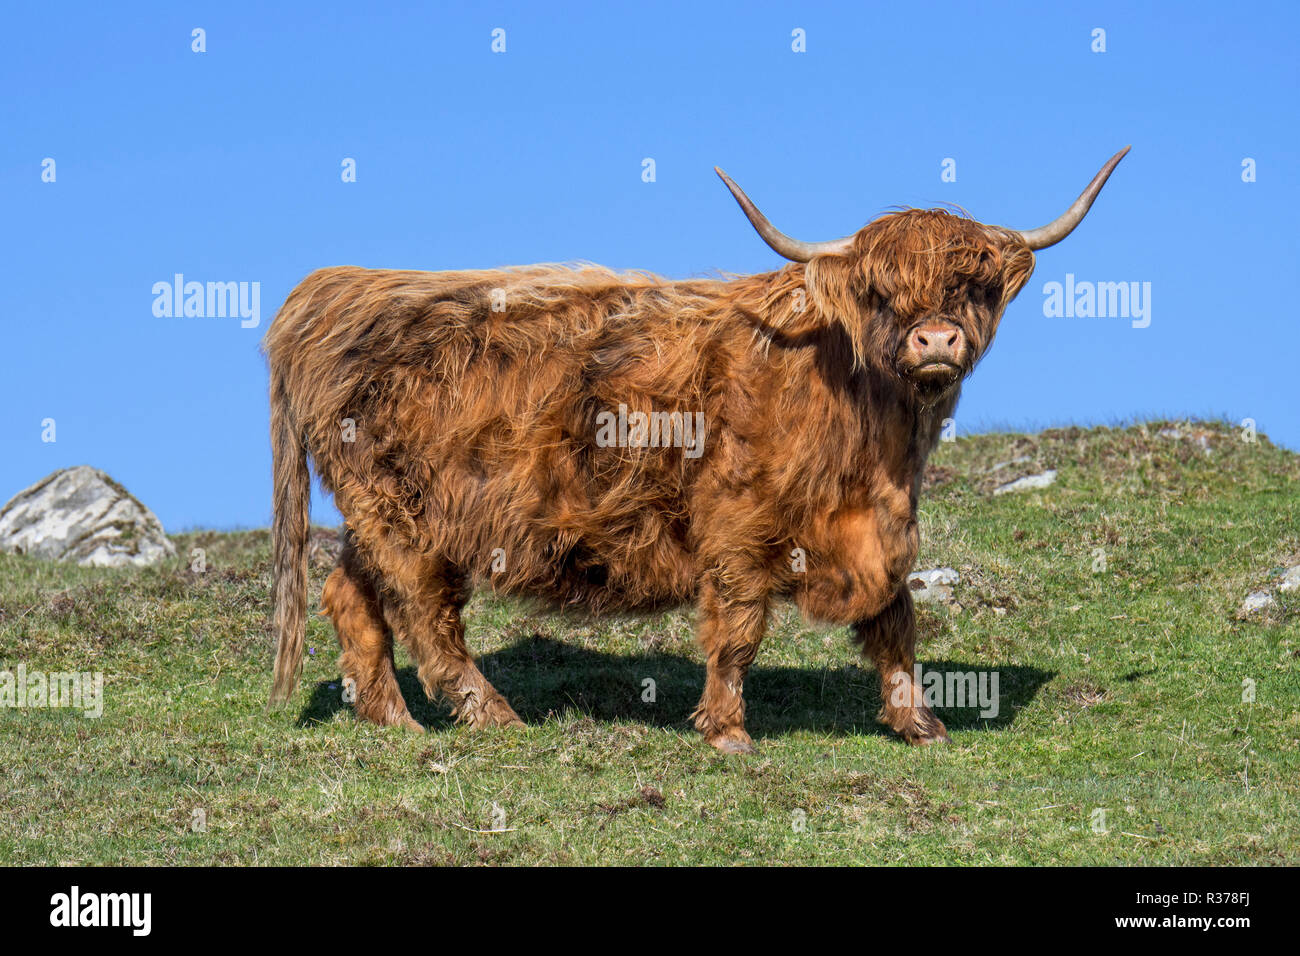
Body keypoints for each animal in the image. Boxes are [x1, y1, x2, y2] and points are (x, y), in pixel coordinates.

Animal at [266, 148, 1129, 751]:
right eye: (882, 293)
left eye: (972, 287)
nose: (937, 338)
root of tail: (337, 290)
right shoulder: (738, 530)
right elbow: (737, 630)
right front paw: (727, 731)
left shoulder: (885, 530)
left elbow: (894, 619)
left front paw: (919, 725)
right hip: (409, 520)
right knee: (425, 618)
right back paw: (494, 718)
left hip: (373, 515)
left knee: (352, 596)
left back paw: (393, 721)